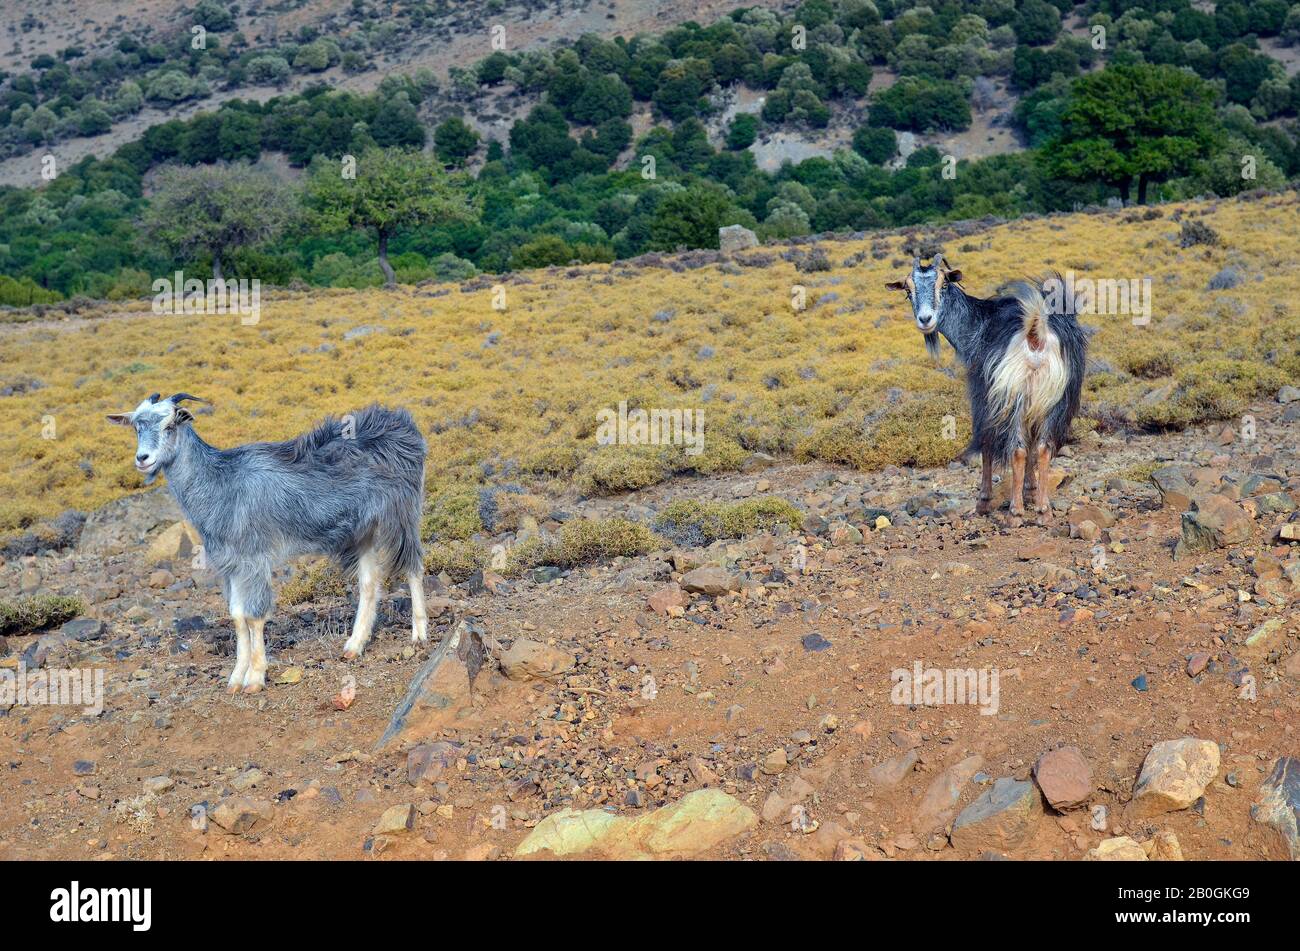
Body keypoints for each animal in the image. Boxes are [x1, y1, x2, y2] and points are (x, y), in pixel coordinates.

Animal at [107, 395, 428, 692]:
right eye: (136, 427)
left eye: (170, 426)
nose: (143, 458)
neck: (221, 481)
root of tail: (403, 424)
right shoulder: (231, 565)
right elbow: (237, 616)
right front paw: (236, 678)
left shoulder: (254, 557)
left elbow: (254, 616)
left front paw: (255, 678)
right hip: (362, 531)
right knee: (369, 582)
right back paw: (354, 645)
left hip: (401, 512)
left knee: (413, 565)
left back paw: (419, 633)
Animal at [885, 256, 1088, 521]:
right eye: (908, 290)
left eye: (944, 285)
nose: (925, 319)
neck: (976, 325)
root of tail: (1035, 332)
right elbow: (1032, 444)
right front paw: (1031, 489)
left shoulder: (982, 392)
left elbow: (986, 444)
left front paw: (983, 500)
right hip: (1057, 396)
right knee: (1043, 447)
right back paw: (1043, 509)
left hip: (1011, 395)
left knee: (1017, 449)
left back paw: (1015, 511)